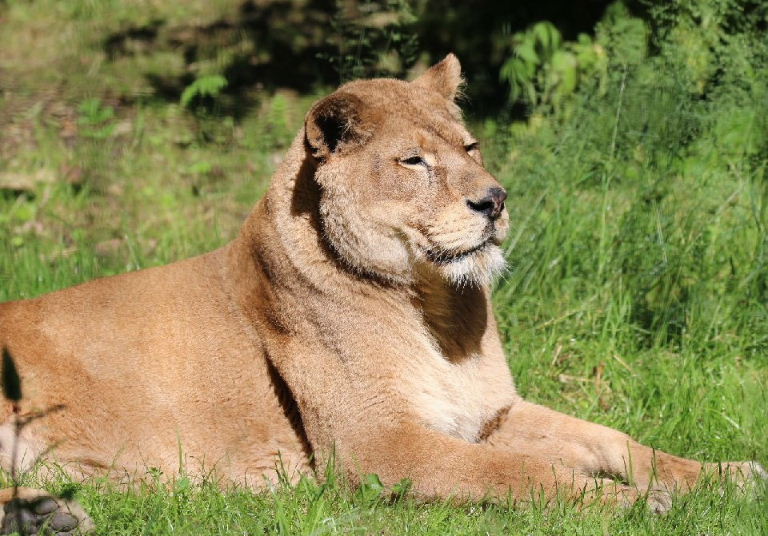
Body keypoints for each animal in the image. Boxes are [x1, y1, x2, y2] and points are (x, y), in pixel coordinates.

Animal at [0, 54, 764, 531]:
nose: (495, 200)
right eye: (413, 161)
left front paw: (724, 476)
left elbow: (616, 439)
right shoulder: (379, 447)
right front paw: (631, 505)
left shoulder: (491, 412)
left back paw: (50, 515)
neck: (437, 306)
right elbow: (514, 474)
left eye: (470, 146)